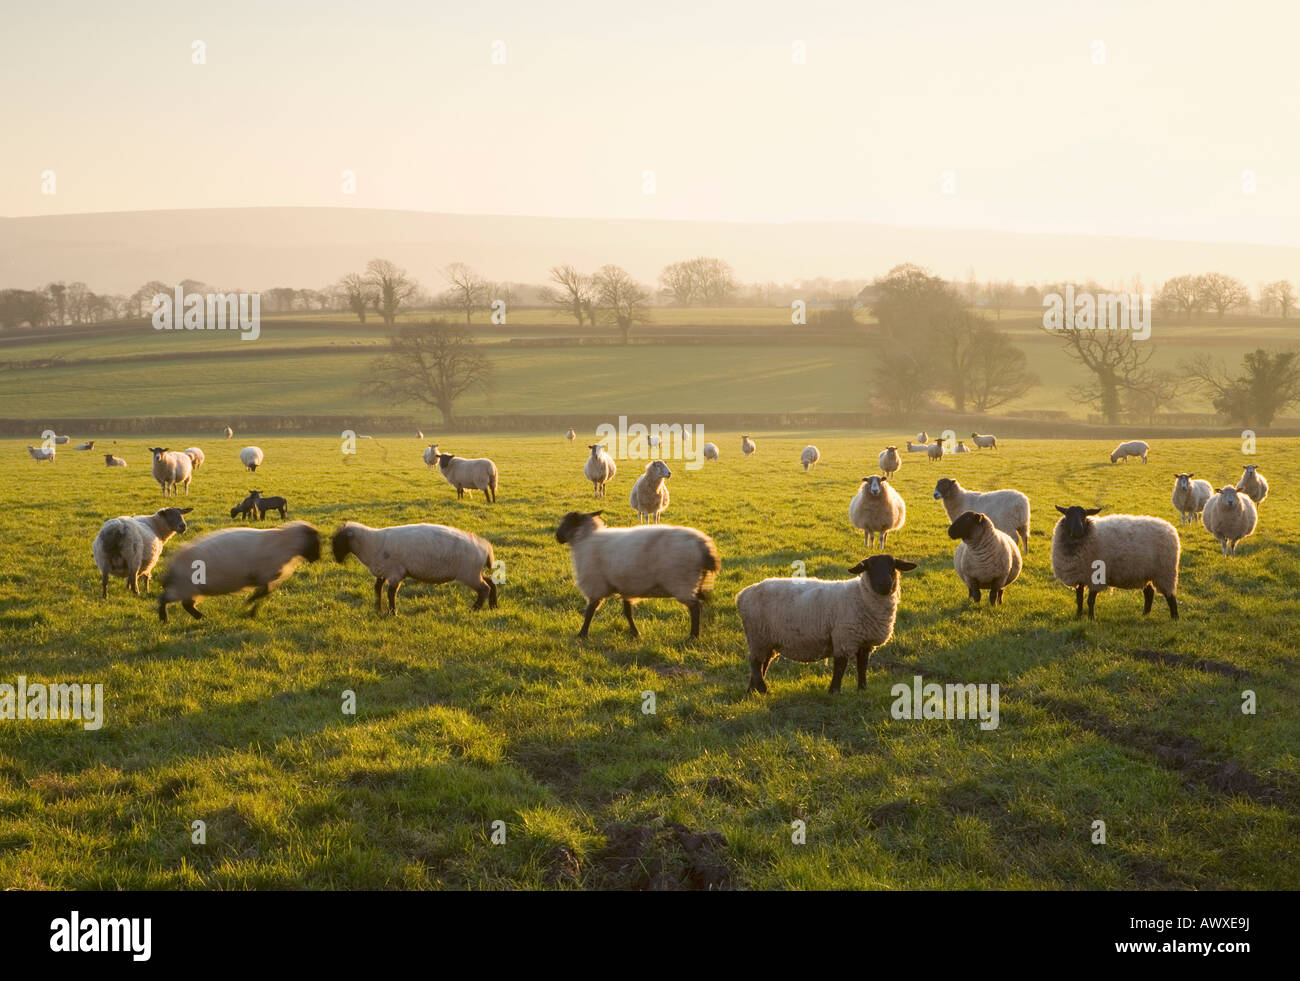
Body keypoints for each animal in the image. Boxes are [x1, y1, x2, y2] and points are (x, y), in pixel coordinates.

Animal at [157, 521, 321, 622]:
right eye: (316, 542)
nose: (317, 559)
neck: (286, 544)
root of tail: (172, 564)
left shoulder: (266, 577)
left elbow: (264, 593)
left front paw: (252, 611)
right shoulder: (265, 574)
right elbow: (262, 593)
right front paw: (249, 605)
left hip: (192, 588)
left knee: (186, 604)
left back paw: (201, 617)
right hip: (185, 586)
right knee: (165, 599)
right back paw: (164, 619)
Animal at [332, 520, 497, 614]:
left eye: (339, 541)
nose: (337, 559)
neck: (372, 543)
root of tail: (485, 548)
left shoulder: (395, 573)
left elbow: (391, 593)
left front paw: (392, 613)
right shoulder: (384, 571)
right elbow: (378, 588)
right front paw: (378, 609)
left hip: (469, 573)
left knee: (484, 588)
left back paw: (474, 609)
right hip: (474, 572)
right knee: (491, 582)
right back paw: (493, 605)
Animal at [554, 510, 719, 640]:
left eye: (566, 522)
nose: (557, 537)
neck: (584, 539)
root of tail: (703, 544)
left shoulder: (596, 585)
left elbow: (589, 611)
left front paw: (582, 634)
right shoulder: (626, 587)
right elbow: (627, 612)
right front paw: (635, 633)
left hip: (682, 582)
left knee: (695, 608)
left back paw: (693, 636)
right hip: (696, 582)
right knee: (703, 604)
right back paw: (701, 629)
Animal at [737, 555, 917, 694]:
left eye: (893, 566)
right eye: (870, 567)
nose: (885, 585)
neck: (861, 595)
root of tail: (743, 594)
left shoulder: (865, 641)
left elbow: (862, 665)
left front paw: (862, 689)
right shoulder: (844, 637)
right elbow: (840, 666)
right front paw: (834, 691)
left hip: (767, 638)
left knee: (763, 662)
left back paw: (752, 689)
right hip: (757, 635)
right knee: (755, 662)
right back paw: (762, 689)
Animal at [1050, 505, 1179, 619]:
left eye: (1084, 515)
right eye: (1068, 515)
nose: (1078, 531)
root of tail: (1170, 529)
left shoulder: (1096, 578)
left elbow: (1090, 601)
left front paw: (1091, 618)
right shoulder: (1079, 576)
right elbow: (1079, 600)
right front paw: (1078, 616)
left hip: (1165, 572)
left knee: (1170, 596)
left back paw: (1175, 618)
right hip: (1143, 572)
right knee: (1149, 594)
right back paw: (1144, 615)